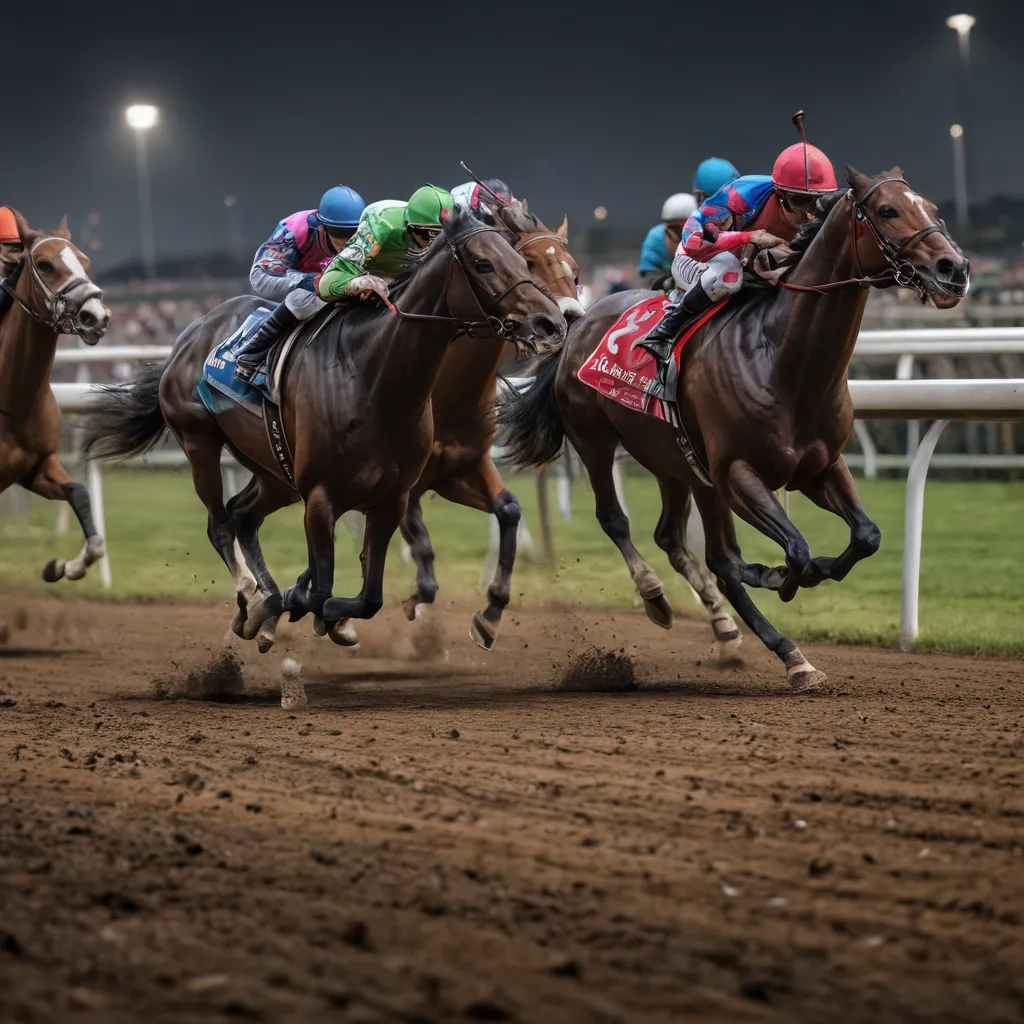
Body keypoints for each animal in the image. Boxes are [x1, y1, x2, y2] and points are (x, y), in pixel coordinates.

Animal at [0, 210, 110, 584]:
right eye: (45, 264)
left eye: (84, 261)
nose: (97, 316)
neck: (15, 402)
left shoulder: (36, 465)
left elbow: (80, 494)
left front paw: (62, 566)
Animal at [84, 202, 565, 664]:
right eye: (483, 264)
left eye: (518, 260)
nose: (552, 324)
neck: (373, 379)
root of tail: (188, 335)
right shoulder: (321, 497)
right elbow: (323, 589)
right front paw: (304, 608)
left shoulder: (396, 495)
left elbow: (370, 595)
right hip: (200, 440)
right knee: (220, 524)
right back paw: (252, 597)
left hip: (275, 469)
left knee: (243, 514)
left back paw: (265, 603)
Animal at [395, 198, 584, 649]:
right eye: (527, 262)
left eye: (574, 270)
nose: (567, 320)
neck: (445, 393)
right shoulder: (405, 483)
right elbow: (421, 547)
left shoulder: (463, 469)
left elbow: (509, 512)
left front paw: (490, 613)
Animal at [499, 167, 969, 690]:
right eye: (887, 210)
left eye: (931, 207)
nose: (954, 268)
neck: (782, 360)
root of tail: (576, 322)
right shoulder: (739, 474)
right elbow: (795, 550)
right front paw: (778, 575)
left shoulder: (820, 467)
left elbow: (865, 535)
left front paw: (813, 570)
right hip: (596, 439)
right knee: (624, 522)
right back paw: (669, 601)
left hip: (675, 461)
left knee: (682, 540)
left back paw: (763, 640)